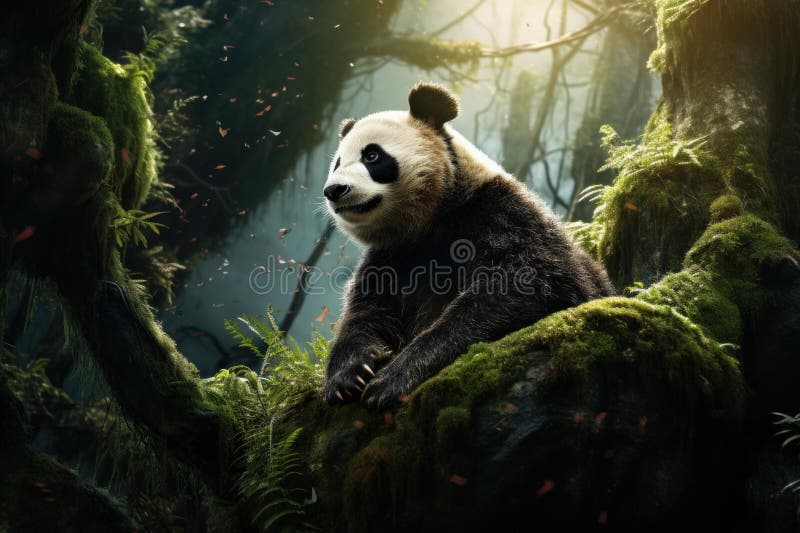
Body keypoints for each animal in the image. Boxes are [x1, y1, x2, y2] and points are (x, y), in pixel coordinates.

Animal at [322, 82, 614, 408]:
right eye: (337, 162)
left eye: (372, 156)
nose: (334, 190)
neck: (431, 217)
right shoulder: (392, 254)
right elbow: (366, 308)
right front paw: (349, 376)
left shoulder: (498, 213)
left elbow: (525, 284)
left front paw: (391, 379)